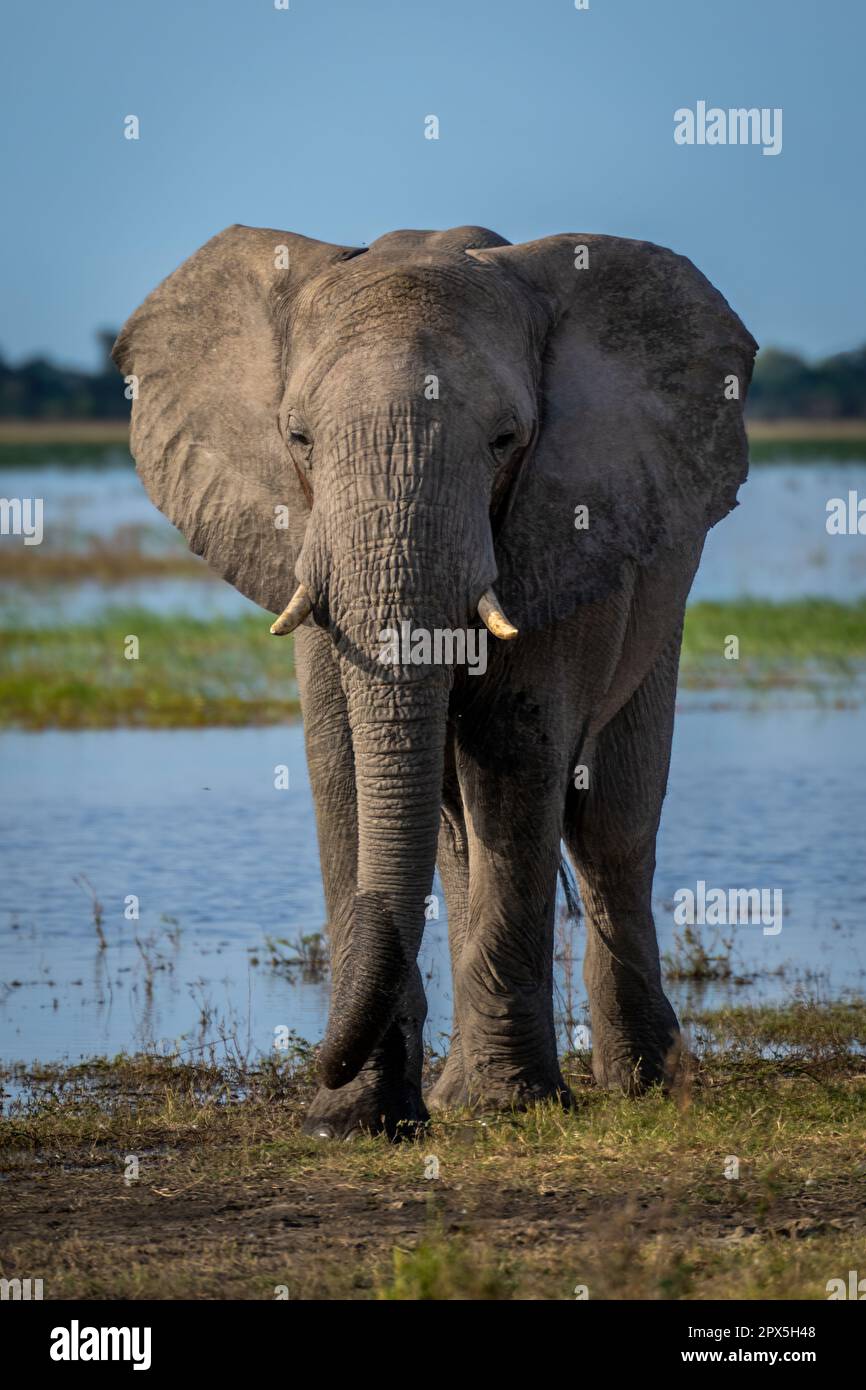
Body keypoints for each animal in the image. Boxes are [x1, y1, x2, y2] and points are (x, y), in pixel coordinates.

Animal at [113, 223, 756, 1139]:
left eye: (505, 440)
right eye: (300, 440)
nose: (314, 1063)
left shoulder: (564, 525)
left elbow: (515, 752)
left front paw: (507, 1105)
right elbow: (343, 761)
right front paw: (357, 1117)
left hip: (662, 573)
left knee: (610, 824)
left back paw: (645, 1085)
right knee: (456, 829)